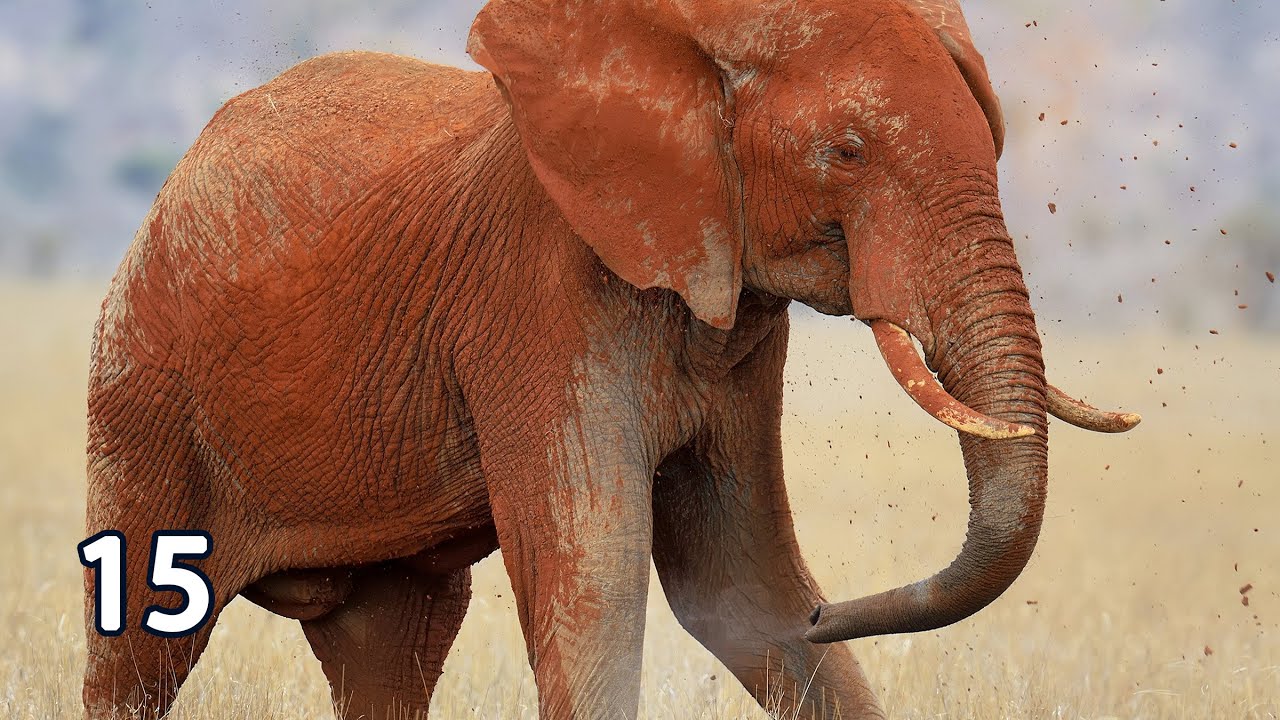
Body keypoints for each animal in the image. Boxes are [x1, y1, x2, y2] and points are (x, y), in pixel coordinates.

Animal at [81, 0, 1139, 718]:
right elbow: (597, 578)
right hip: (142, 382)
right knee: (139, 648)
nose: (831, 612)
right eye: (845, 152)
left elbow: (740, 587)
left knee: (393, 648)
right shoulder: (540, 300)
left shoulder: (734, 309)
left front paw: (788, 617)